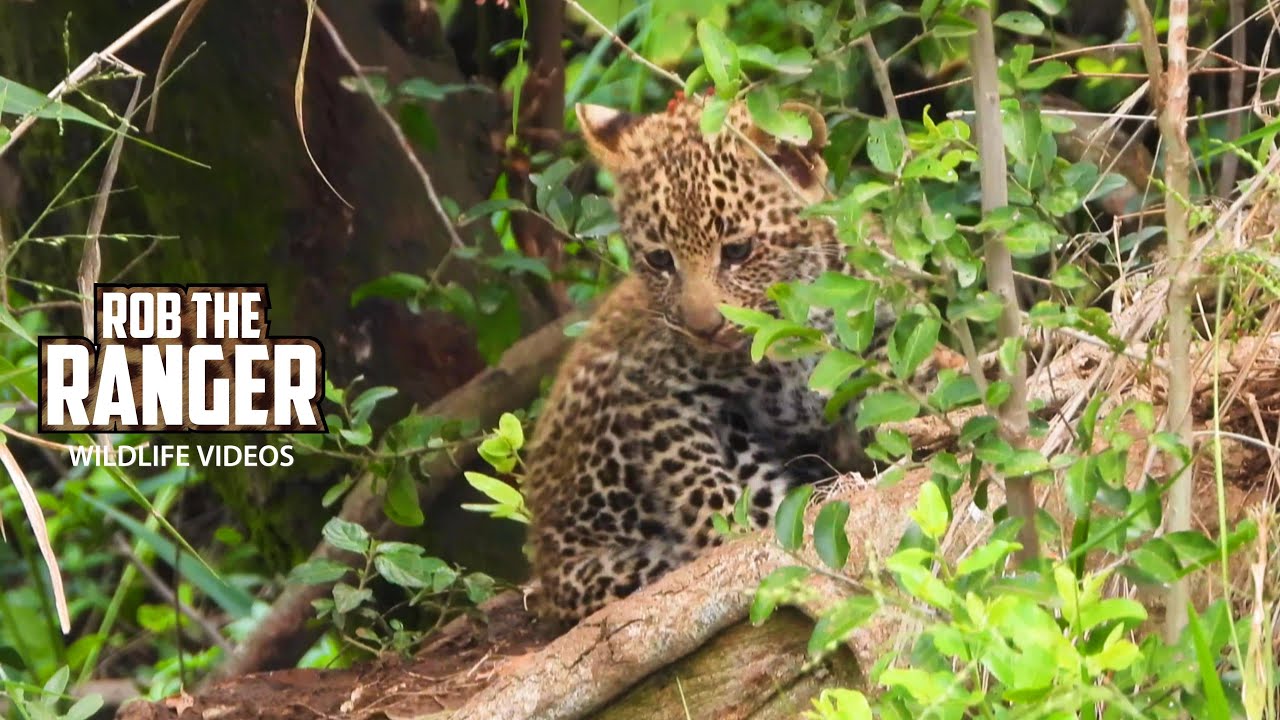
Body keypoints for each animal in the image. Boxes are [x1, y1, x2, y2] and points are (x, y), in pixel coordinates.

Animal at [523, 98, 866, 626]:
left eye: (739, 250)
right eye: (660, 259)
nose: (703, 326)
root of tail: (548, 566)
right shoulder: (649, 392)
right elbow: (701, 488)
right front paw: (737, 534)